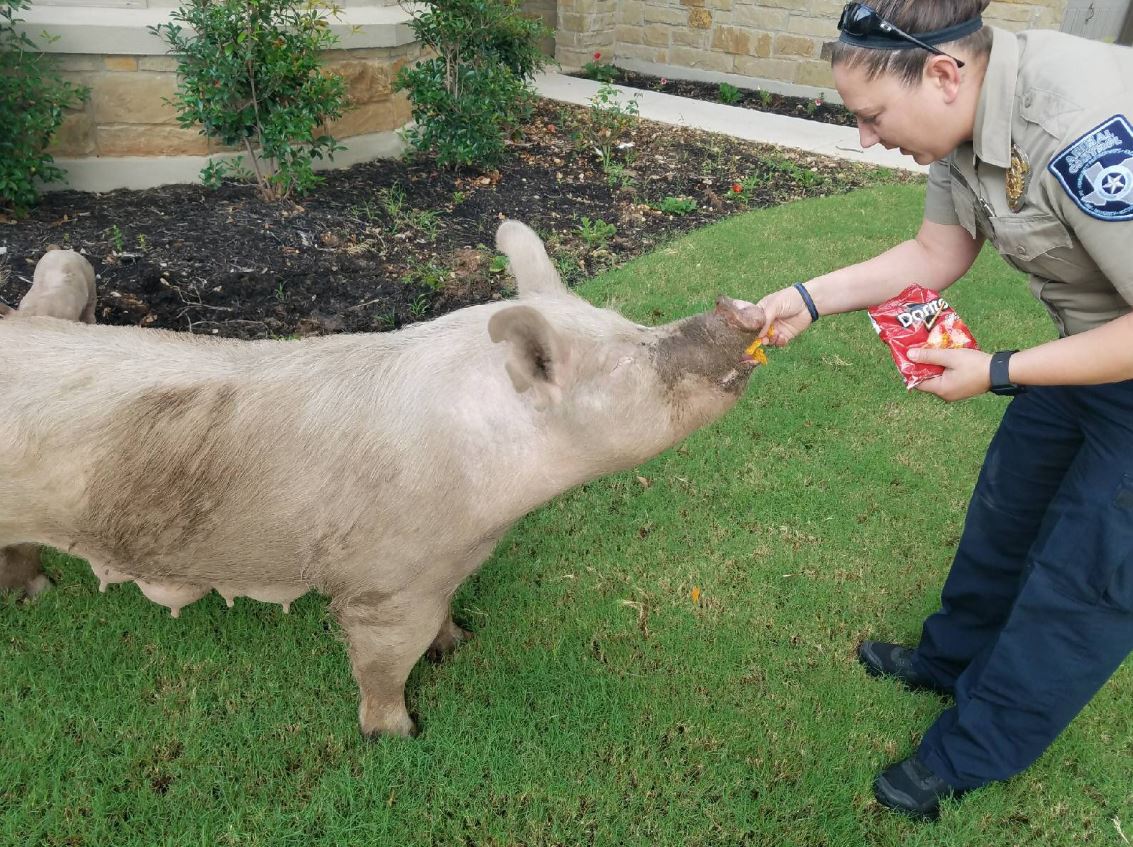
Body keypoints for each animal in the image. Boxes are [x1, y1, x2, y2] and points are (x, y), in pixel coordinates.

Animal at [0, 221, 765, 737]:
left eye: (630, 322)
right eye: (635, 359)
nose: (737, 311)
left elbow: (445, 621)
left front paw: (458, 644)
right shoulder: (385, 585)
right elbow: (384, 662)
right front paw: (397, 733)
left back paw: (38, 594)